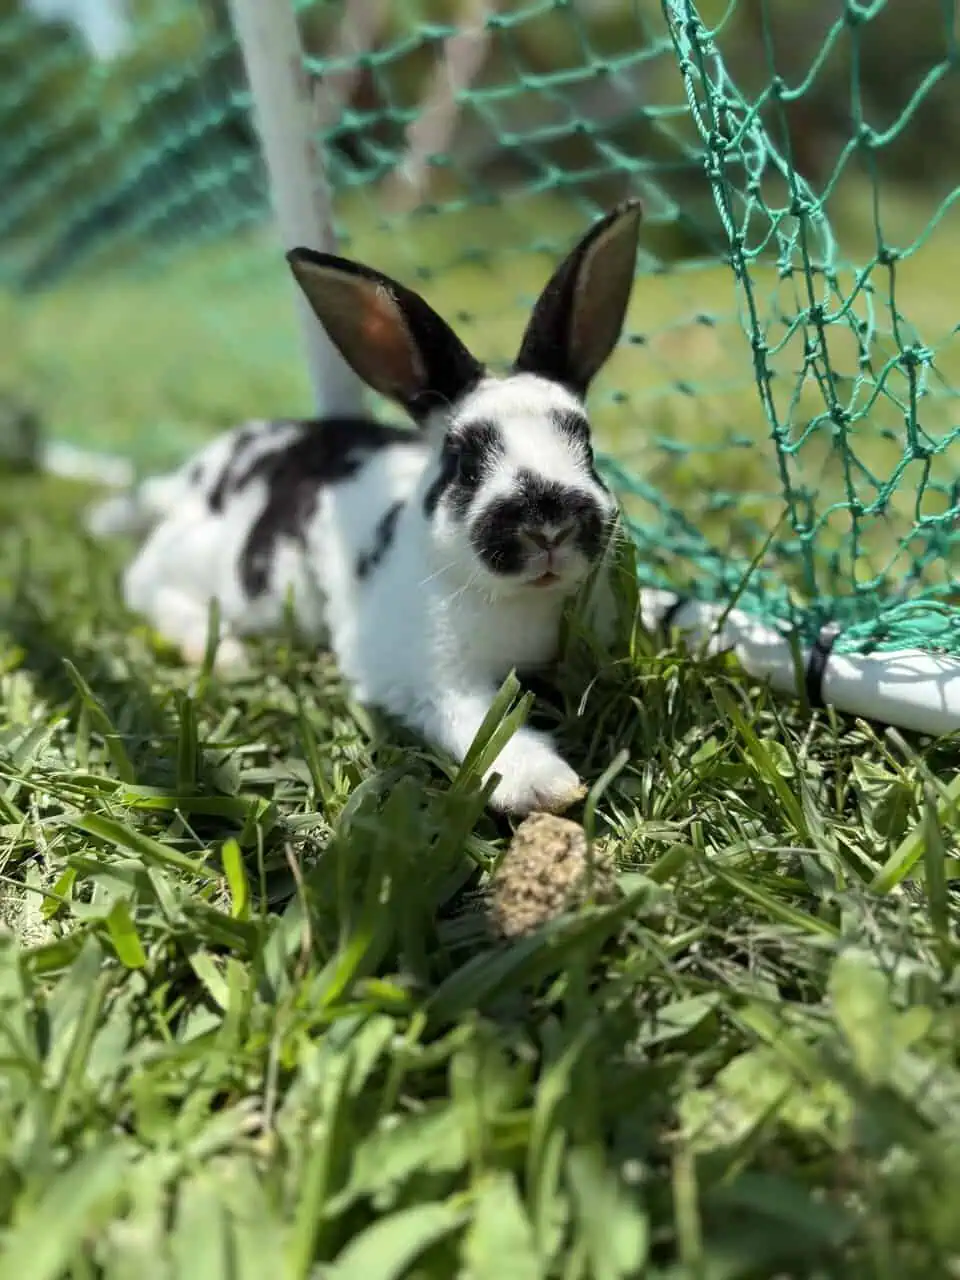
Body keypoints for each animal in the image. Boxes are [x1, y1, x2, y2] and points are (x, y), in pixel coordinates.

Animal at [86, 199, 643, 815]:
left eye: (586, 445)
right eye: (462, 460)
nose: (548, 526)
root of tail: (197, 474)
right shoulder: (429, 679)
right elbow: (481, 726)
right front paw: (547, 785)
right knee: (143, 584)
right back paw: (223, 653)